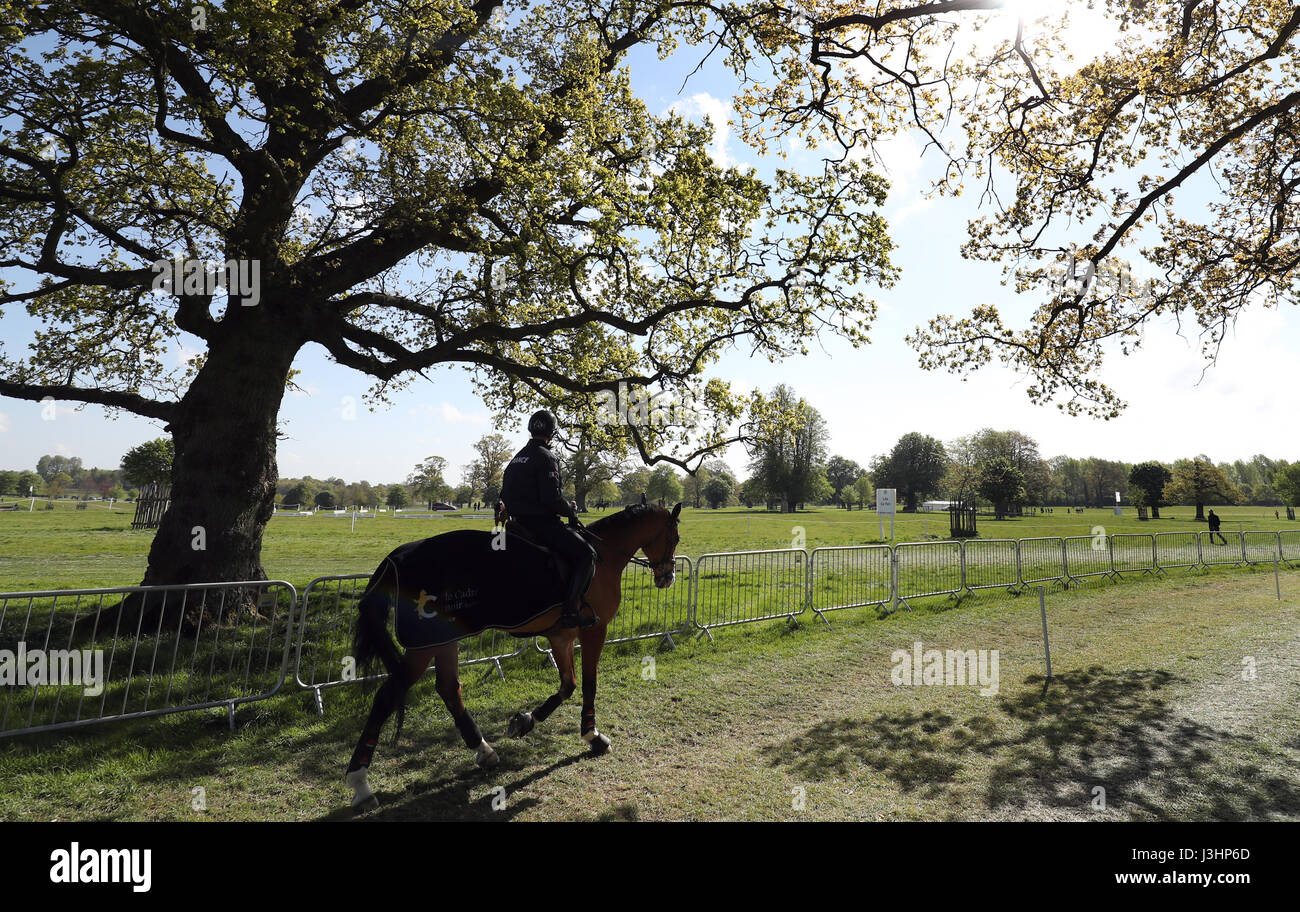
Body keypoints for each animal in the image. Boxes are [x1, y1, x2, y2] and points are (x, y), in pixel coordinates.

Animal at [344, 501, 683, 812]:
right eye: (675, 537)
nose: (668, 577)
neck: (604, 555)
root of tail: (401, 555)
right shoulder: (593, 631)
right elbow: (589, 683)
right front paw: (592, 734)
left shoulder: (561, 636)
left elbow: (568, 685)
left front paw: (525, 721)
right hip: (423, 647)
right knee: (386, 697)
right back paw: (360, 782)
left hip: (445, 639)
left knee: (449, 689)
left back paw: (483, 750)